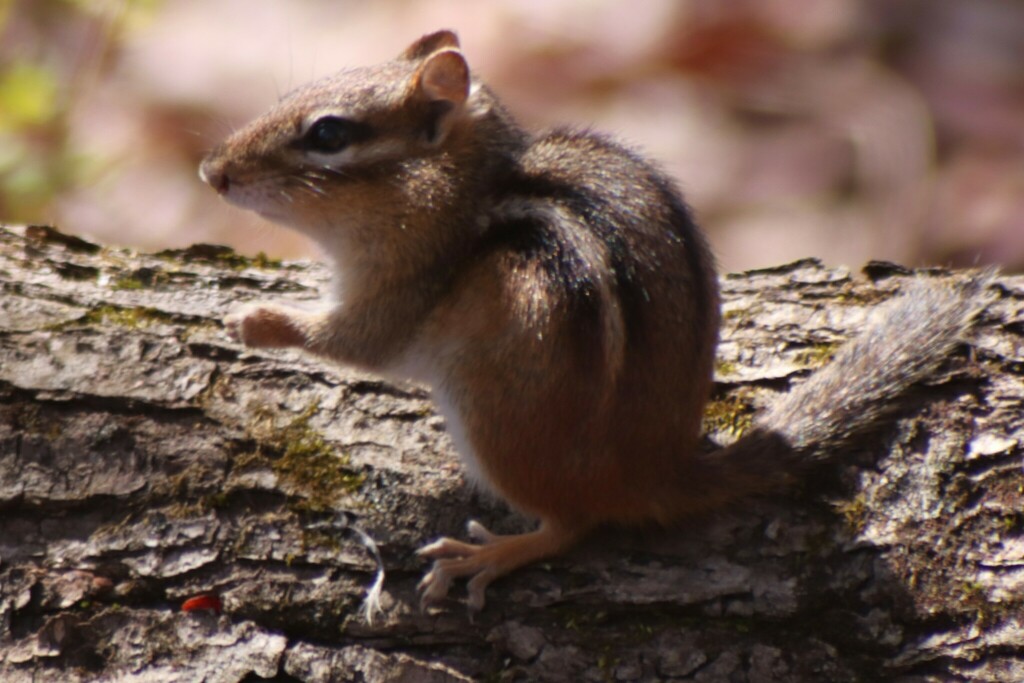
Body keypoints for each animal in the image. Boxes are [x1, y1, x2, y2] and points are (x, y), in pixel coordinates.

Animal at [199, 30, 992, 612]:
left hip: (494, 416)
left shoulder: (405, 281)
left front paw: (255, 319)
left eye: (328, 134)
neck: (466, 189)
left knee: (574, 524)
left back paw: (490, 554)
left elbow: (355, 342)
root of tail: (653, 471)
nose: (213, 172)